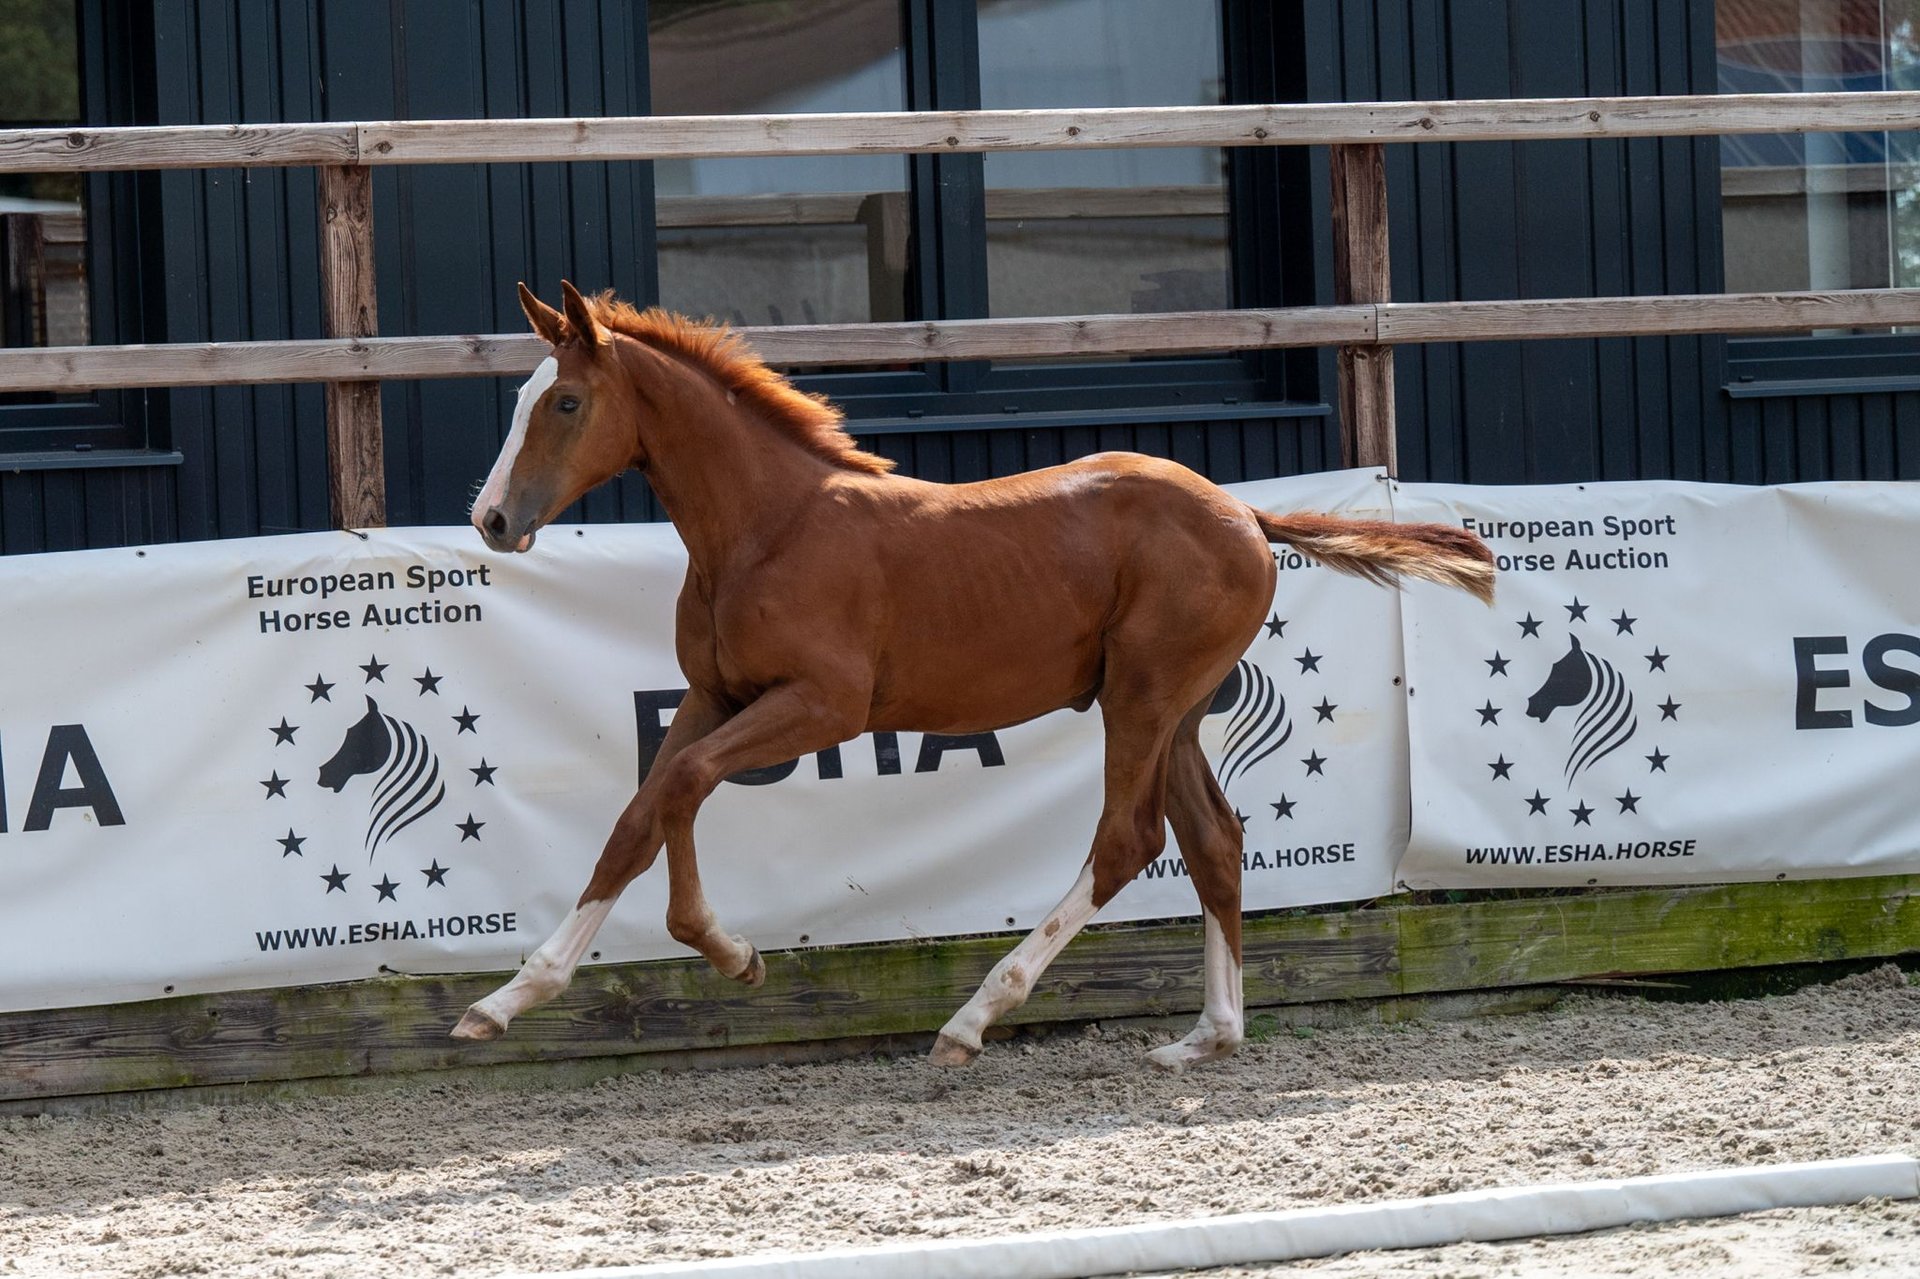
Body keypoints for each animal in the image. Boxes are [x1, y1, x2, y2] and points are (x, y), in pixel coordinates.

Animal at [454, 280, 1495, 1070]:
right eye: (519, 401)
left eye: (565, 402)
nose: (492, 519)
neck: (768, 527)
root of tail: (1244, 513)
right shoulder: (714, 696)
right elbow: (638, 815)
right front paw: (508, 998)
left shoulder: (824, 704)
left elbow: (684, 783)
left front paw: (732, 950)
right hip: (1182, 709)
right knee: (1215, 837)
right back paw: (1208, 1035)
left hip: (1143, 696)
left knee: (1127, 839)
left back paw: (972, 1018)